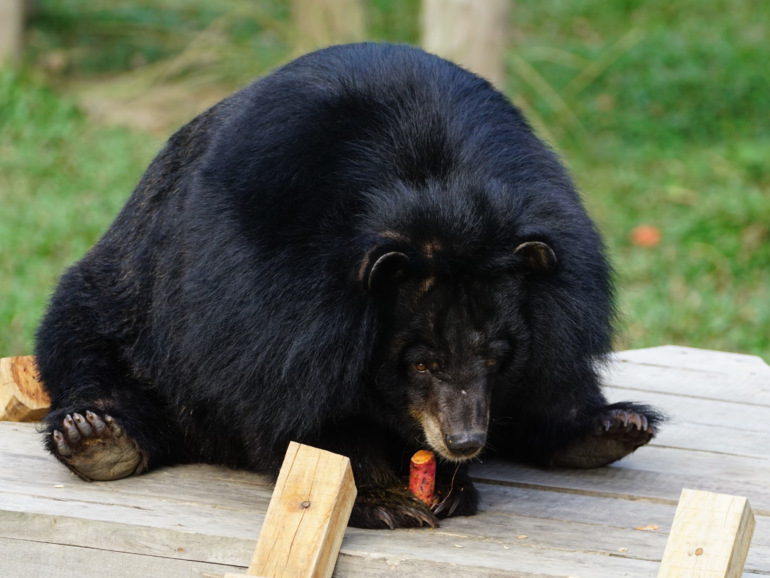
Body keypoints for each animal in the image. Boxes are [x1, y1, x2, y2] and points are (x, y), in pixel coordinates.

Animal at [36, 43, 662, 530]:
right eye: (420, 362)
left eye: (496, 355)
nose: (463, 441)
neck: (438, 195)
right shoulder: (270, 305)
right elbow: (306, 414)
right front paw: (387, 499)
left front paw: (449, 484)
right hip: (127, 298)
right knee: (88, 343)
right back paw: (98, 439)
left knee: (559, 386)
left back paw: (610, 429)